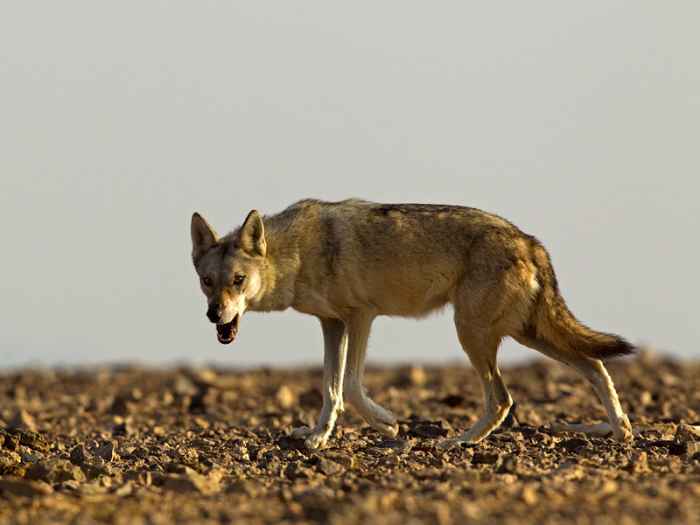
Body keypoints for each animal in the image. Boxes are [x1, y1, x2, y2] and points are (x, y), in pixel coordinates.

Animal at [190, 199, 634, 449]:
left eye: (238, 280)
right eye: (207, 282)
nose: (214, 314)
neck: (297, 252)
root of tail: (529, 240)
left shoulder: (360, 316)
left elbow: (351, 386)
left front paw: (387, 425)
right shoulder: (332, 323)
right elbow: (330, 389)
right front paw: (317, 436)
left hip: (476, 335)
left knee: (503, 399)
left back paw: (459, 442)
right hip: (523, 333)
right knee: (594, 365)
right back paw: (621, 432)